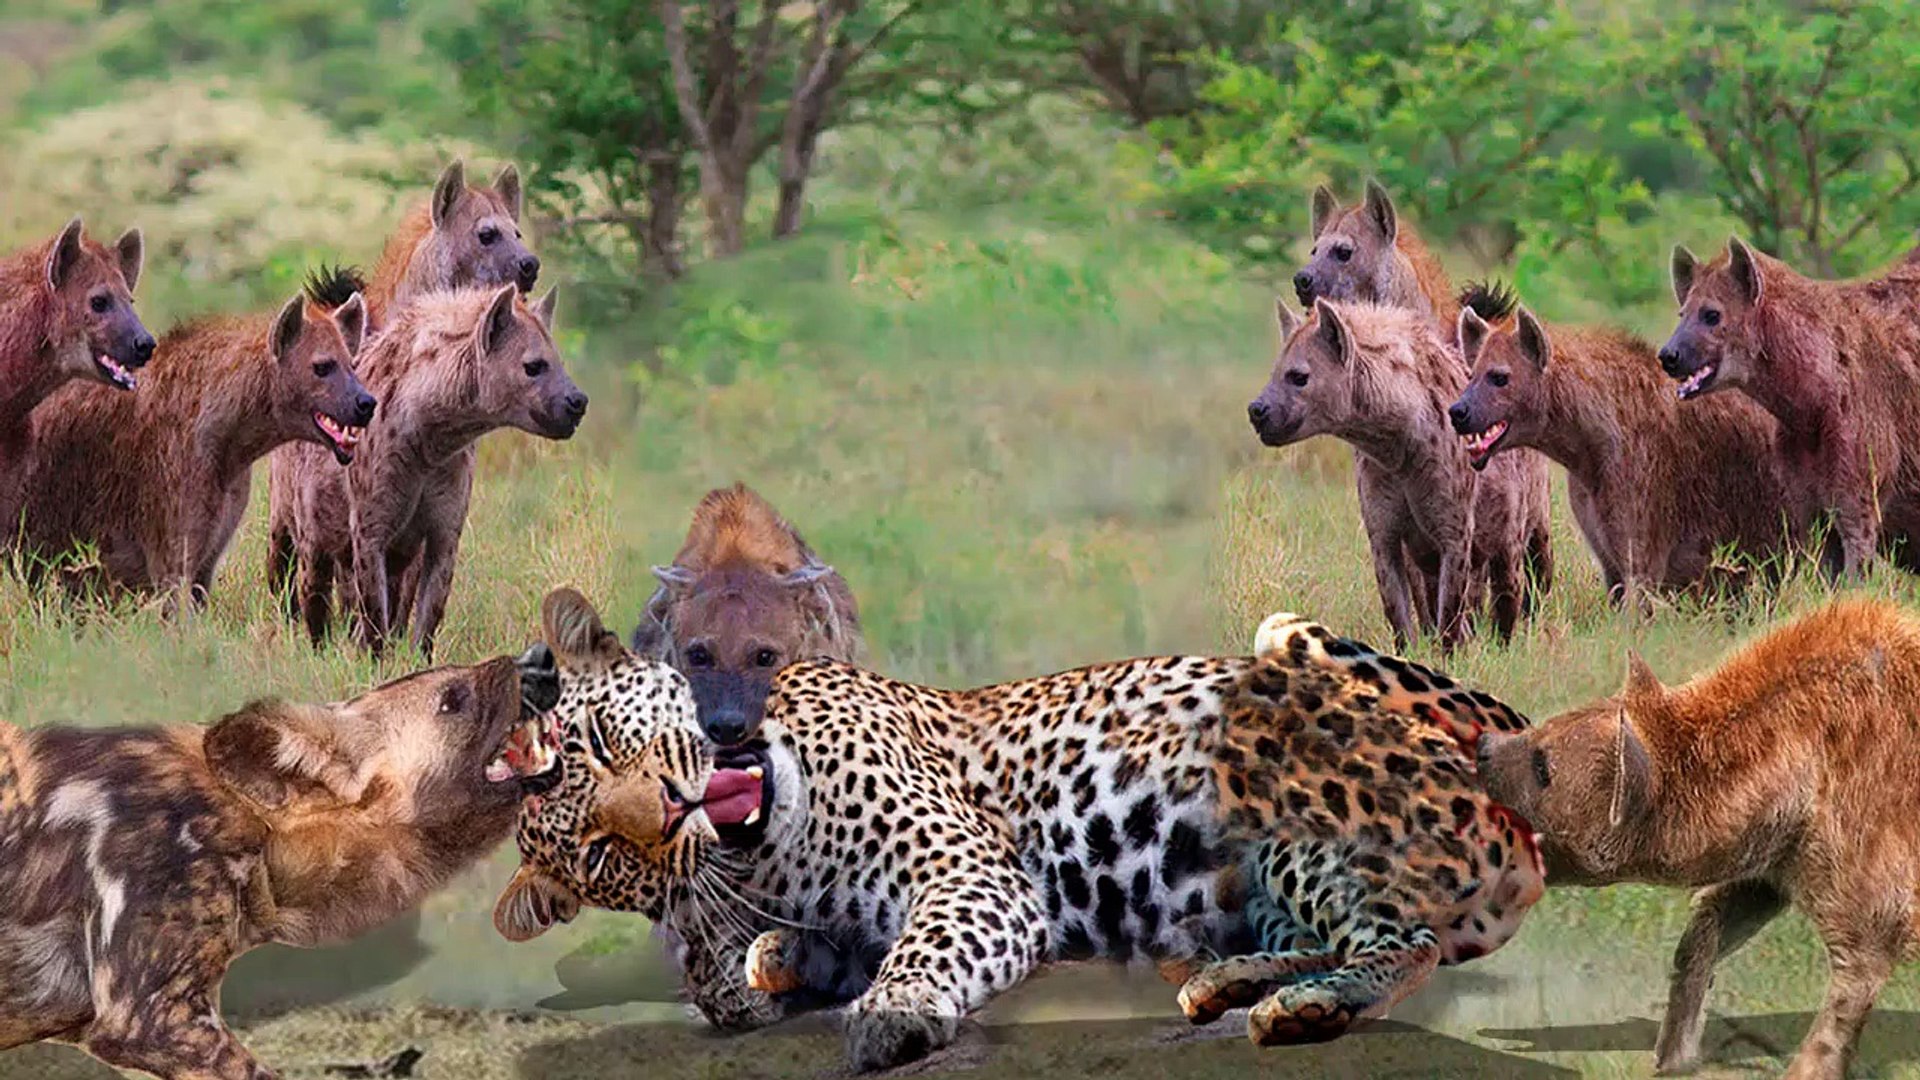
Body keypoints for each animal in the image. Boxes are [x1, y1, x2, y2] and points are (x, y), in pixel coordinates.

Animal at [496, 588, 1546, 1073]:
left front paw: (891, 1012)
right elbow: (793, 955)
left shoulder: (972, 875)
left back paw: (1310, 1006)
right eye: (602, 854)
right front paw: (774, 963)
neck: (775, 859)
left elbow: (924, 948)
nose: (667, 811)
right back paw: (1231, 983)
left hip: (1293, 804)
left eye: (604, 739)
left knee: (1403, 942)